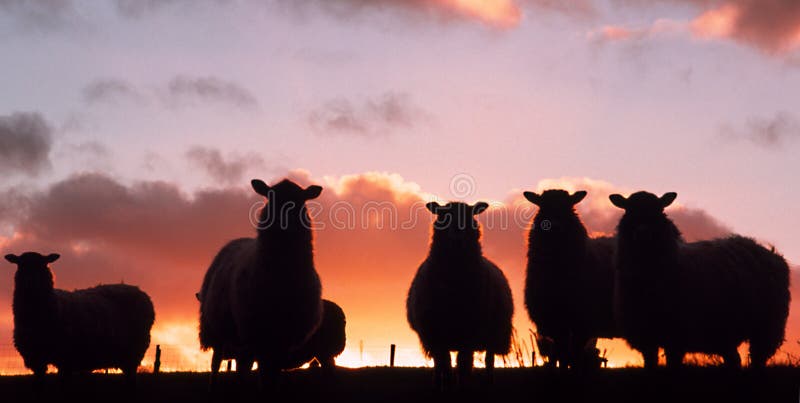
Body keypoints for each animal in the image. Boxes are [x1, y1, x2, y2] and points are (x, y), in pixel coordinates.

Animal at [4, 252, 154, 386]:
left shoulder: (66, 358)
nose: (30, 281)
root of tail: (139, 291)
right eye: (20, 264)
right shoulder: (35, 358)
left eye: (43, 264)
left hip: (134, 351)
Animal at [198, 178, 324, 388]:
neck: (281, 277)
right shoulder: (255, 333)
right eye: (270, 198)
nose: (283, 223)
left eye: (300, 200)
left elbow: (273, 374)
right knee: (218, 363)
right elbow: (260, 373)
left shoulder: (284, 336)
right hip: (220, 329)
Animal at [406, 201, 513, 389]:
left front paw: (462, 384)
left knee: (489, 360)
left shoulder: (469, 332)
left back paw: (488, 382)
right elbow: (444, 363)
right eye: (444, 215)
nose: (457, 232)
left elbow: (463, 363)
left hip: (494, 333)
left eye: (469, 215)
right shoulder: (435, 333)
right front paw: (445, 384)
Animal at [523, 189, 617, 369]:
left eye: (568, 208)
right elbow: (562, 357)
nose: (554, 226)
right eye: (542, 208)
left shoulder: (583, 323)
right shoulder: (556, 322)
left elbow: (573, 357)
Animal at [609, 191, 790, 369]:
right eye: (628, 210)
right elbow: (650, 364)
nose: (643, 233)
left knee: (758, 359)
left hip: (767, 327)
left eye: (659, 210)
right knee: (734, 360)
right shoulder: (646, 336)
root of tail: (769, 253)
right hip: (725, 331)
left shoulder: (676, 335)